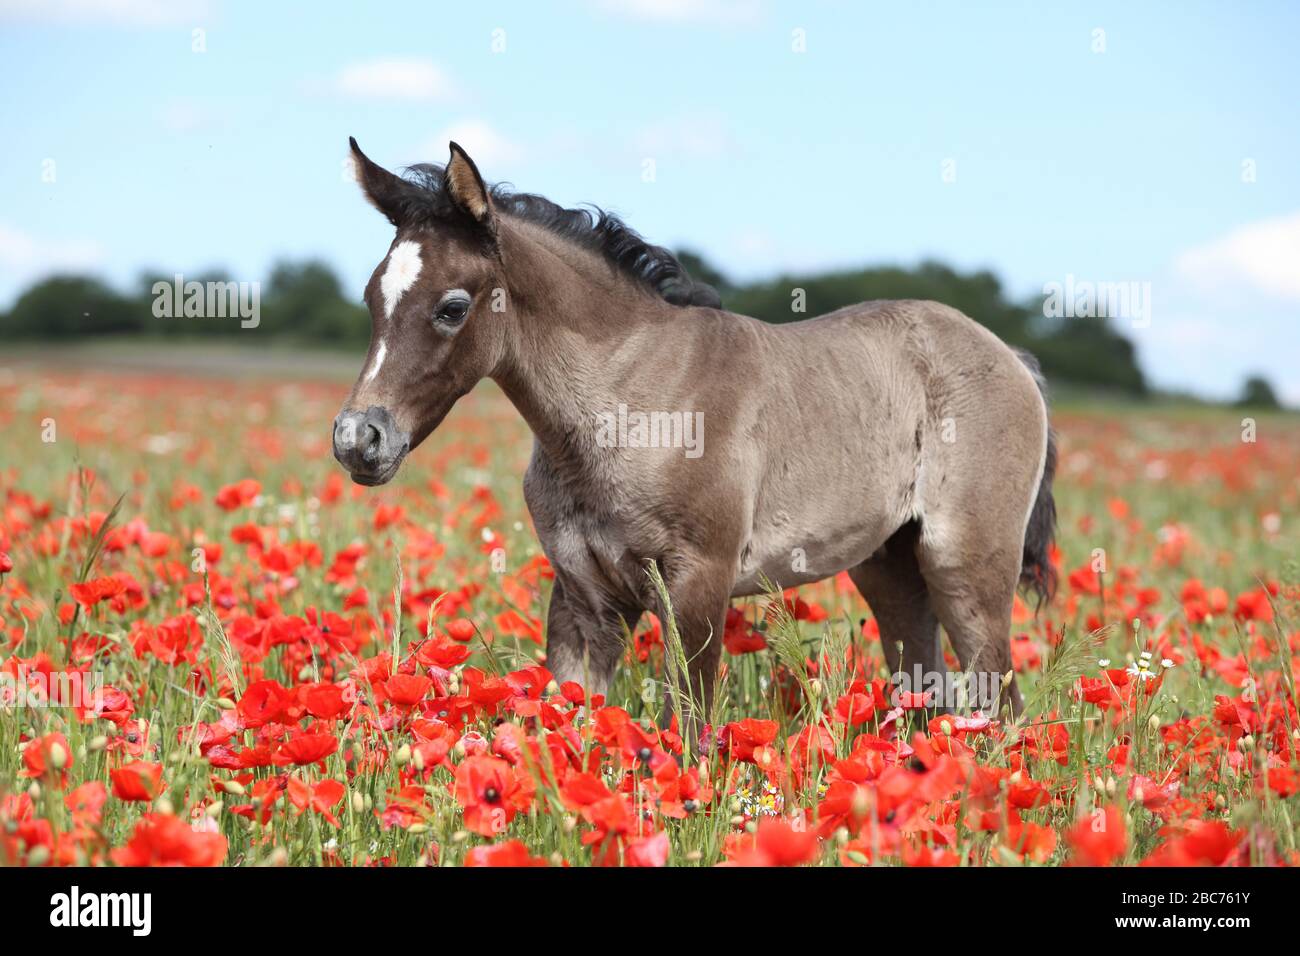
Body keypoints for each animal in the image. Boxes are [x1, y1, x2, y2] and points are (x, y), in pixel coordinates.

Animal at [332, 138, 1057, 735]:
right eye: (370, 298)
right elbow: (572, 728)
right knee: (924, 692)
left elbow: (689, 733)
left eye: (452, 307)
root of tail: (1014, 359)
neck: (633, 401)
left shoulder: (699, 585)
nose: (358, 439)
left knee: (1001, 705)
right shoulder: (584, 597)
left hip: (965, 566)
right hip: (891, 570)